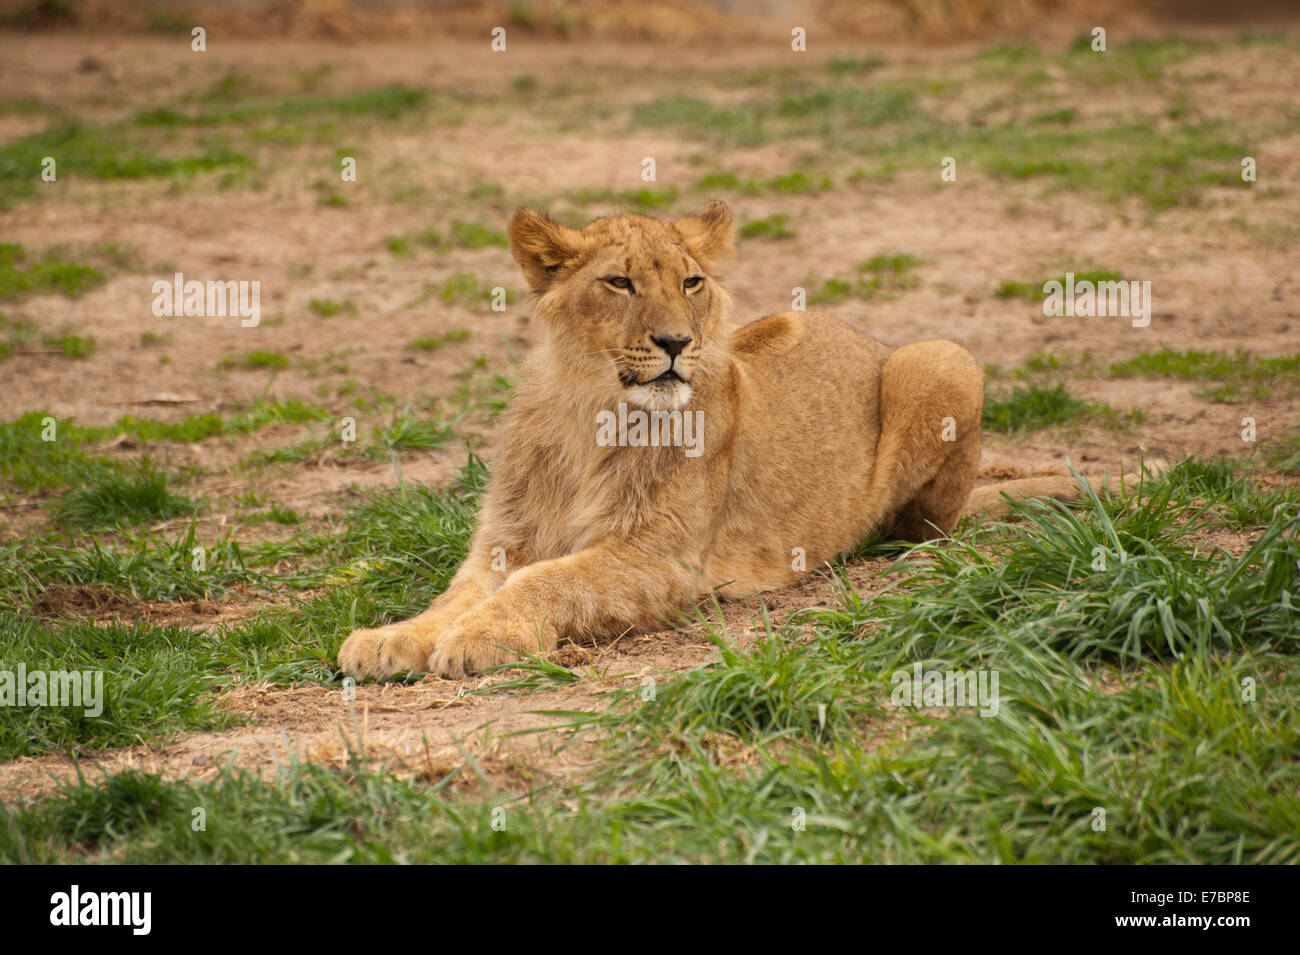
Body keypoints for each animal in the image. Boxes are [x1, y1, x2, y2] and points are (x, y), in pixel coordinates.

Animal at [339, 200, 1100, 680]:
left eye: (691, 281)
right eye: (619, 282)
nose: (677, 342)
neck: (589, 414)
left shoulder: (660, 559)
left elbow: (546, 580)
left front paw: (482, 636)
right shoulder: (506, 540)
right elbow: (455, 595)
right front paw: (390, 639)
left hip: (942, 359)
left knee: (926, 527)